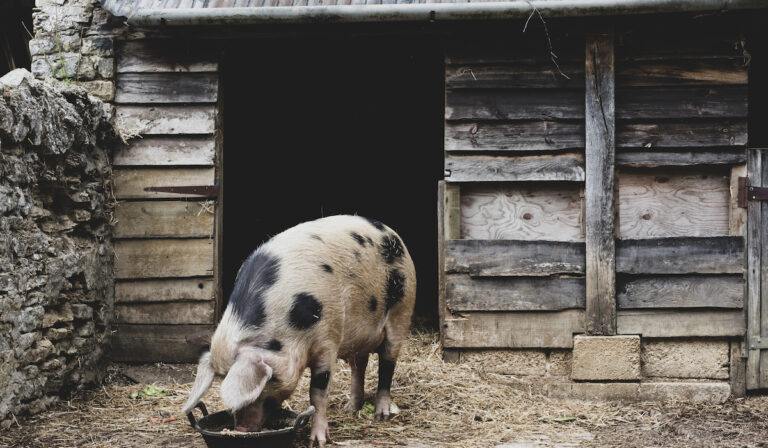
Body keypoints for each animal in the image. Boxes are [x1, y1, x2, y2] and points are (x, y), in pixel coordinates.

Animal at [182, 215, 416, 447]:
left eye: (268, 380)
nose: (241, 429)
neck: (290, 328)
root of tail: (390, 232)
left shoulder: (328, 339)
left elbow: (317, 393)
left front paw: (318, 442)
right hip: (359, 337)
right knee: (359, 365)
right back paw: (349, 408)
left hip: (402, 310)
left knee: (387, 365)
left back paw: (382, 415)